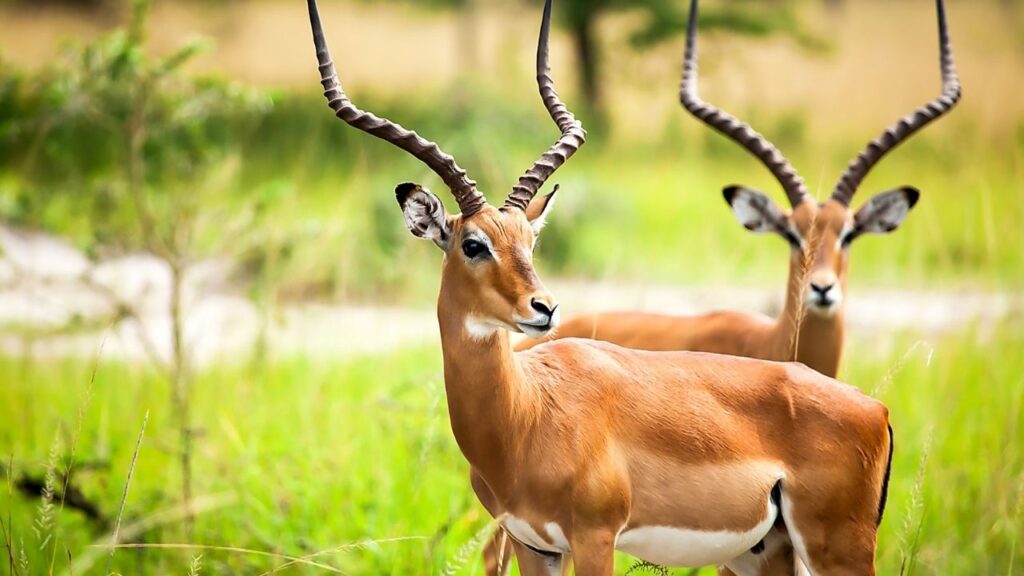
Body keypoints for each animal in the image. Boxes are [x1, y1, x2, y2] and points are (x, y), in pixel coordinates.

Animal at [307, 0, 894, 574]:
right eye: (473, 244)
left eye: (530, 240)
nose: (543, 308)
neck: (526, 414)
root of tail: (877, 411)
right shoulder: (535, 544)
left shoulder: (595, 537)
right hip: (765, 553)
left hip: (835, 549)